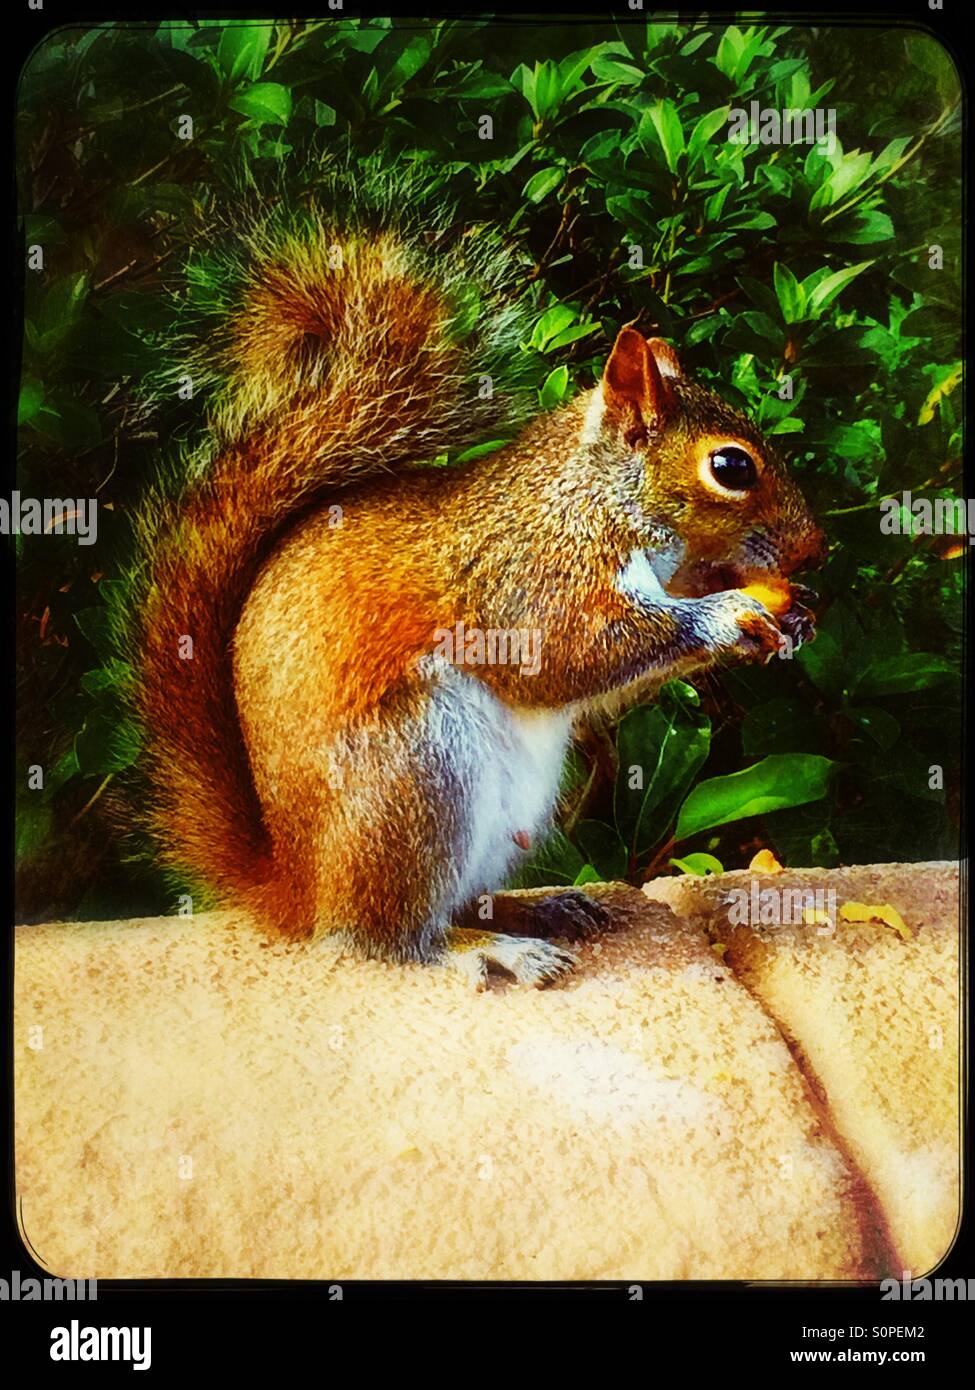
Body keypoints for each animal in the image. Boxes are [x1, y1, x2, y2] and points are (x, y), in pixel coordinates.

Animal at [128, 187, 826, 989]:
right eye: (731, 467)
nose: (815, 547)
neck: (591, 494)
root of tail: (296, 888)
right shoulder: (529, 578)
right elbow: (565, 658)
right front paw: (725, 616)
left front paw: (789, 618)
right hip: (416, 775)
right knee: (384, 938)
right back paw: (486, 948)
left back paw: (537, 909)